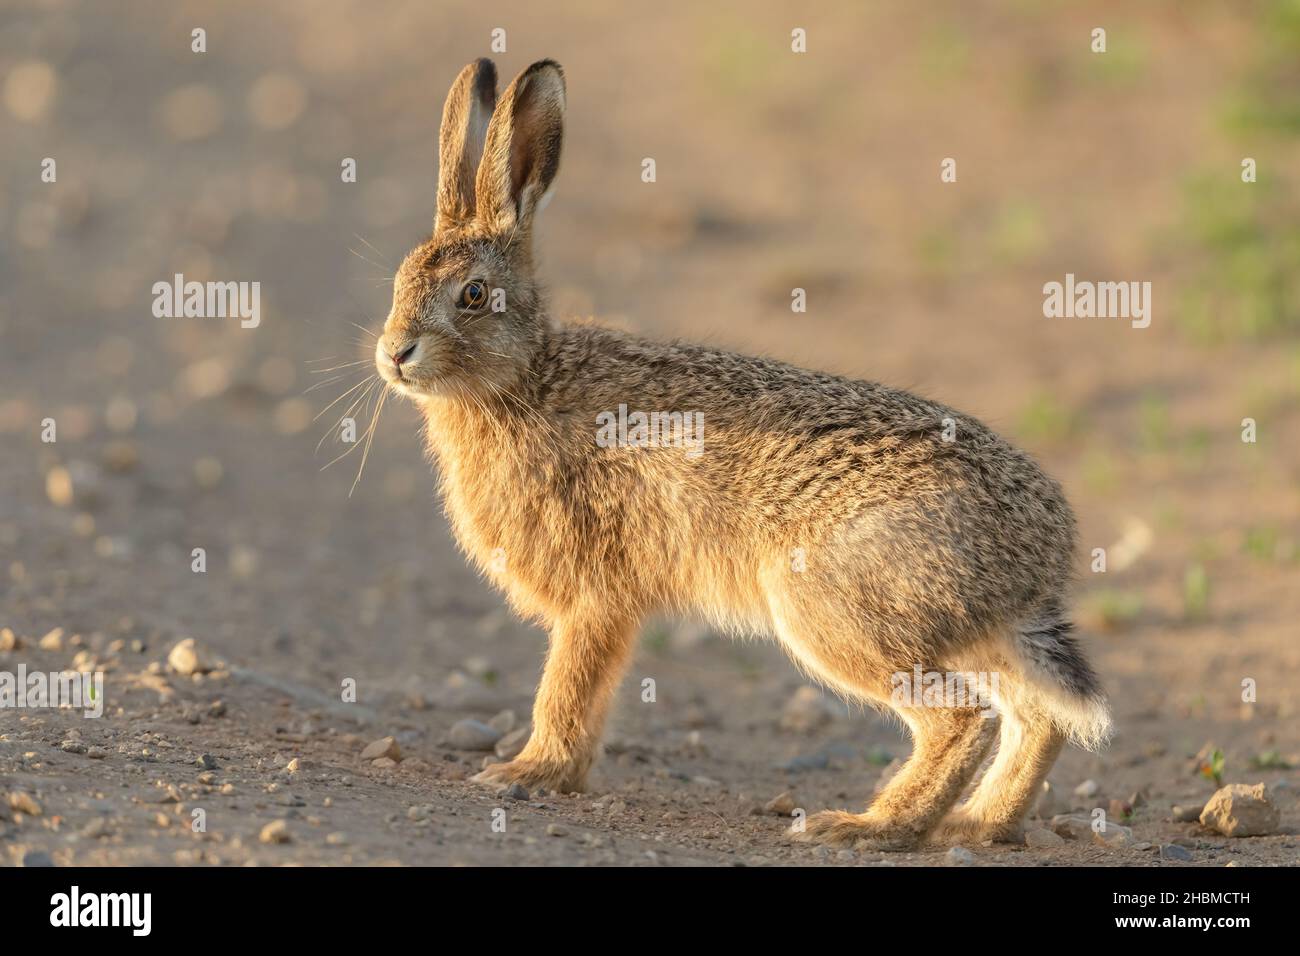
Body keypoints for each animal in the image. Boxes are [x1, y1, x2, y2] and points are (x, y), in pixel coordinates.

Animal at [373, 57, 1111, 850]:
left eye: (474, 295)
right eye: (399, 282)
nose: (394, 354)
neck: (523, 378)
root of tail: (1043, 546)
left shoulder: (596, 593)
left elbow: (567, 688)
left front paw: (530, 772)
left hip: (837, 613)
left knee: (959, 719)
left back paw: (868, 826)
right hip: (974, 632)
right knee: (1039, 718)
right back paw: (976, 825)